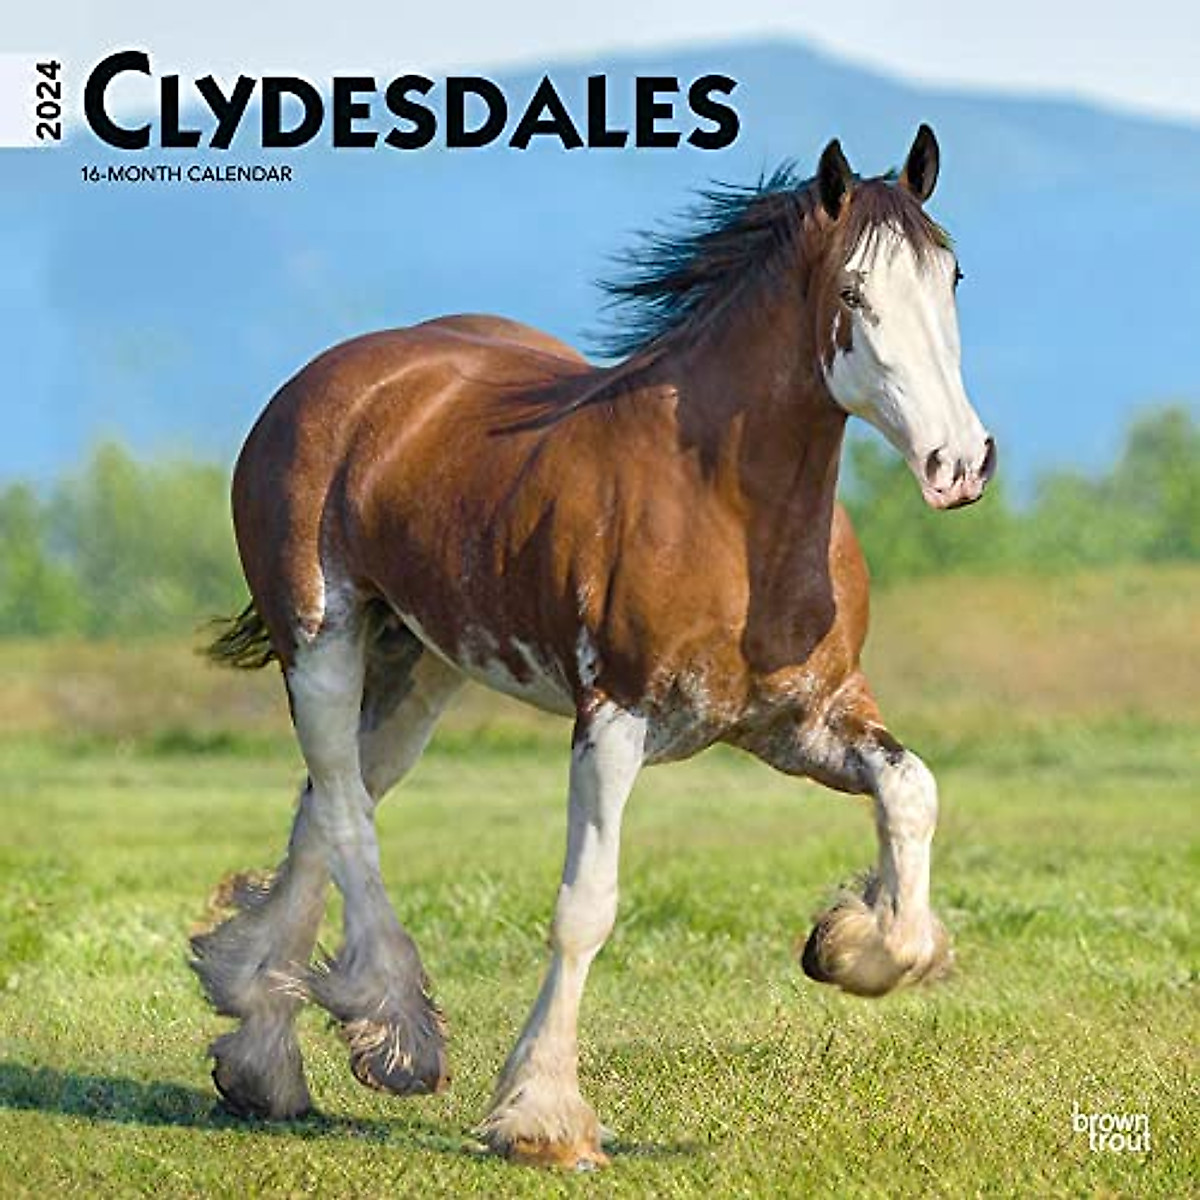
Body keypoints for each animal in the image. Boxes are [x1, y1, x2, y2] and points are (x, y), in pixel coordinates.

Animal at [193, 124, 996, 1168]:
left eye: (951, 275)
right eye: (854, 292)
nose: (959, 464)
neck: (728, 513)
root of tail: (334, 379)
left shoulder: (805, 723)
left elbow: (912, 790)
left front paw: (849, 946)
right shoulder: (613, 720)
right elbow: (586, 908)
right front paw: (542, 1119)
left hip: (421, 665)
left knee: (326, 805)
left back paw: (261, 1059)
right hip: (320, 641)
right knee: (346, 814)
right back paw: (396, 1036)